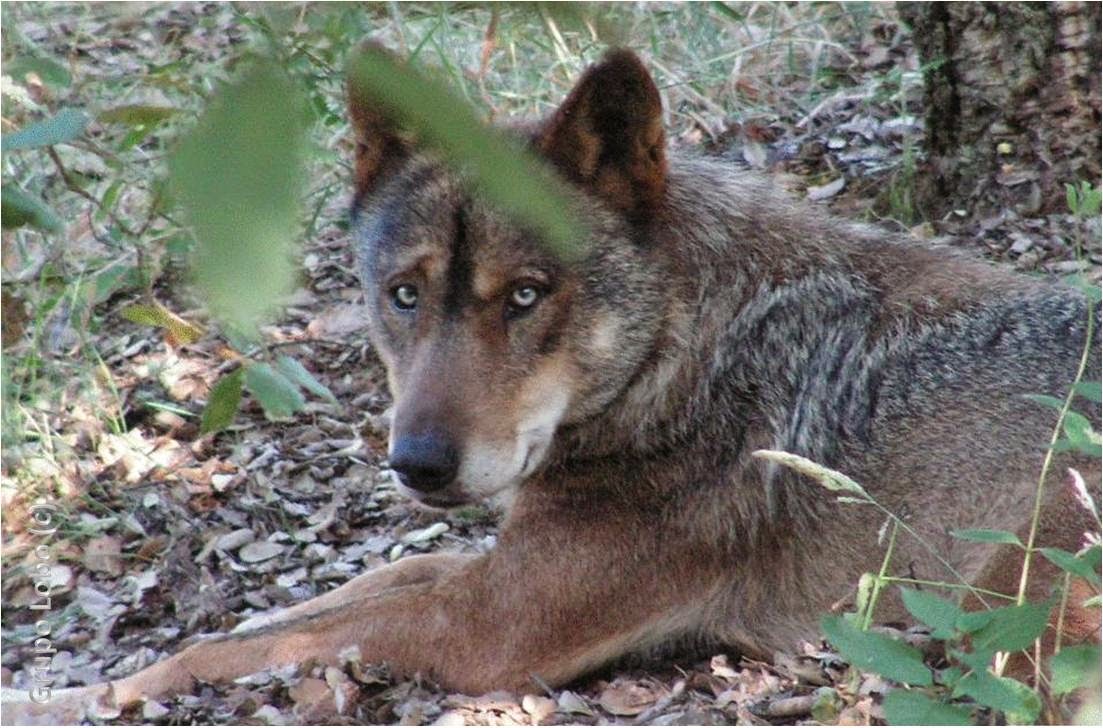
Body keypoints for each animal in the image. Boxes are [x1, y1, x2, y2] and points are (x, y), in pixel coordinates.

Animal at [5, 48, 1099, 721]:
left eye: (526, 295)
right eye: (404, 295)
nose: (416, 464)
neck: (686, 354)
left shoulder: (490, 623)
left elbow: (241, 649)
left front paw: (66, 696)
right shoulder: (490, 567)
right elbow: (326, 598)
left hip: (1000, 607)